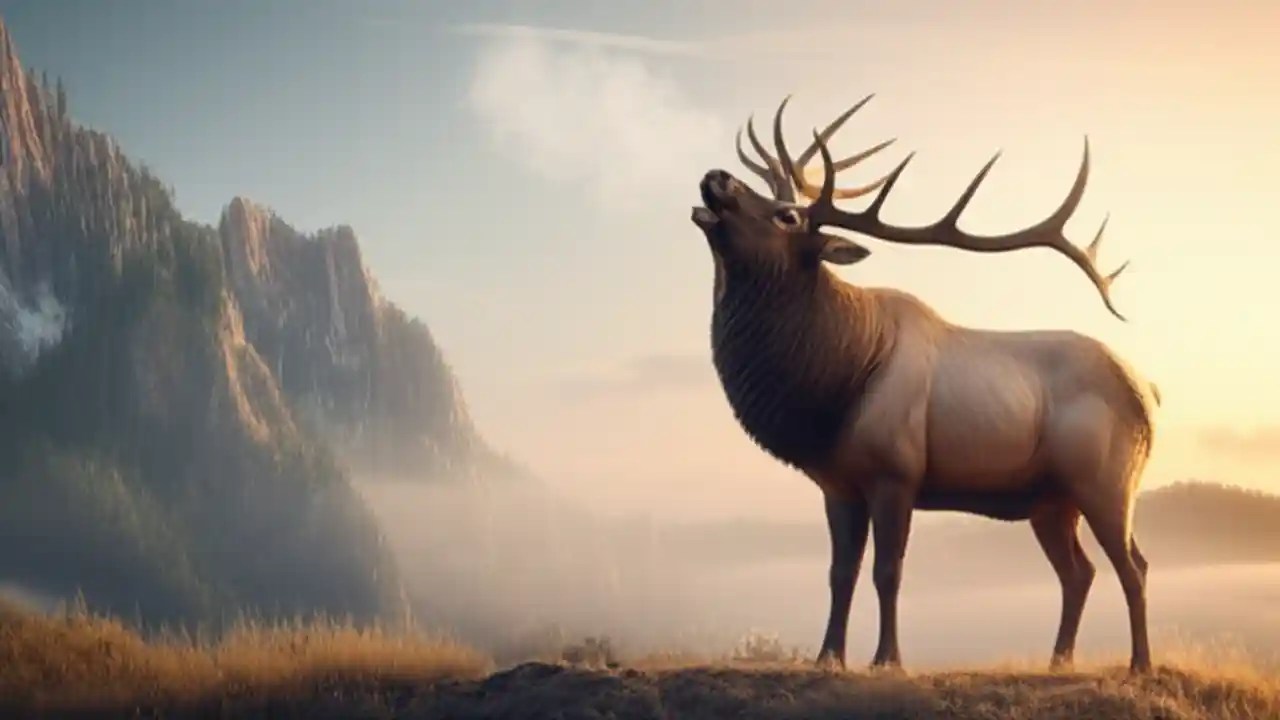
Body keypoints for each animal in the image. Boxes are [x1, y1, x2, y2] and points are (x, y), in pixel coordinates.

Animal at [690, 94, 1160, 674]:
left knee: (1134, 566)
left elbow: (887, 571)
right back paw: (1058, 662)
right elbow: (839, 574)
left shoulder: (897, 472)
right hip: (1051, 501)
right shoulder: (837, 484)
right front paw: (828, 657)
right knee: (1079, 572)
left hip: (1107, 483)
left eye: (788, 215)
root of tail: (1149, 393)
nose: (717, 177)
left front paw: (886, 659)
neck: (836, 384)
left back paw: (1139, 665)